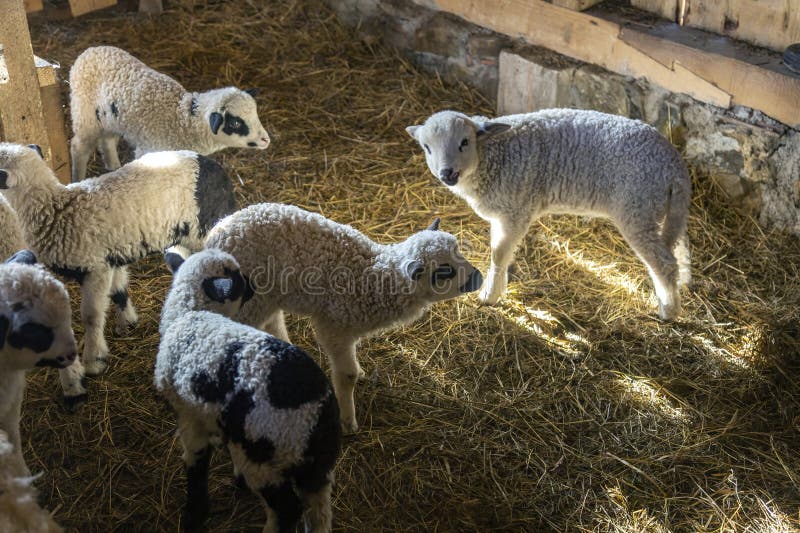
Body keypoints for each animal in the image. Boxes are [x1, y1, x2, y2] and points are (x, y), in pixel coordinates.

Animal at [0, 143, 236, 406]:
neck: (57, 210)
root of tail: (213, 167)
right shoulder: (111, 259)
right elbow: (118, 291)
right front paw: (127, 322)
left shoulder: (95, 267)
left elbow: (91, 316)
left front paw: (94, 360)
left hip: (206, 228)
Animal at [69, 45, 271, 182]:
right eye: (235, 123)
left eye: (256, 114)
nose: (266, 140)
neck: (183, 120)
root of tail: (90, 51)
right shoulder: (147, 151)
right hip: (84, 111)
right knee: (79, 146)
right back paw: (78, 178)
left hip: (109, 118)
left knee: (108, 140)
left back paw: (113, 166)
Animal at [155, 248, 341, 533]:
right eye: (239, 281)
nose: (253, 283)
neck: (188, 314)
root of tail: (318, 411)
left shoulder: (189, 417)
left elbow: (196, 464)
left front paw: (194, 515)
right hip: (317, 463)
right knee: (318, 508)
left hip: (264, 457)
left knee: (287, 509)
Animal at [204, 203, 484, 433]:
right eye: (444, 272)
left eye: (458, 250)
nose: (478, 278)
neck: (374, 280)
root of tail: (217, 234)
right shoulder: (334, 325)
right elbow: (347, 375)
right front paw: (348, 422)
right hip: (247, 302)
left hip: (266, 297)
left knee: (271, 321)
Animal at [406, 109, 692, 320]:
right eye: (426, 147)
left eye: (464, 142)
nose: (447, 173)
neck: (492, 155)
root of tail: (674, 166)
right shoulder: (504, 214)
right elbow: (502, 253)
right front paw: (500, 287)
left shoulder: (517, 211)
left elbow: (498, 254)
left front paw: (489, 296)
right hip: (659, 209)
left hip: (637, 207)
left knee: (664, 263)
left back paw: (668, 312)